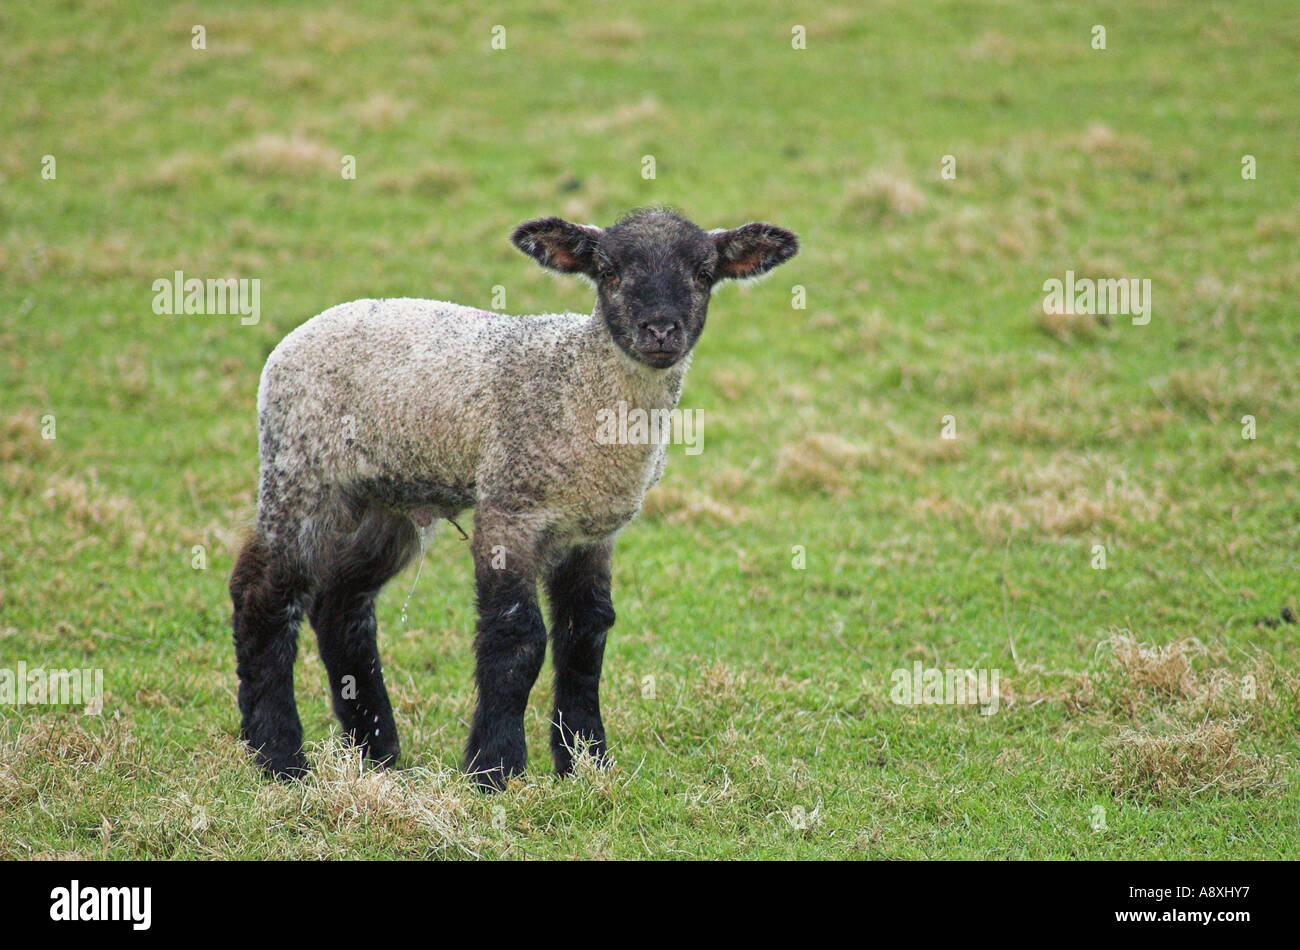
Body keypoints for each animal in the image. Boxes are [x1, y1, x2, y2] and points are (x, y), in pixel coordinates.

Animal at [229, 208, 799, 789]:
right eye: (609, 271)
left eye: (704, 274)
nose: (660, 331)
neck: (582, 386)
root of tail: (294, 339)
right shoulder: (509, 510)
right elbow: (517, 638)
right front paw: (494, 767)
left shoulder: (591, 530)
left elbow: (586, 636)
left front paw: (586, 761)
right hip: (302, 474)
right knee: (263, 596)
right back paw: (279, 755)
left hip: (385, 500)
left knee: (342, 606)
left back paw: (376, 749)